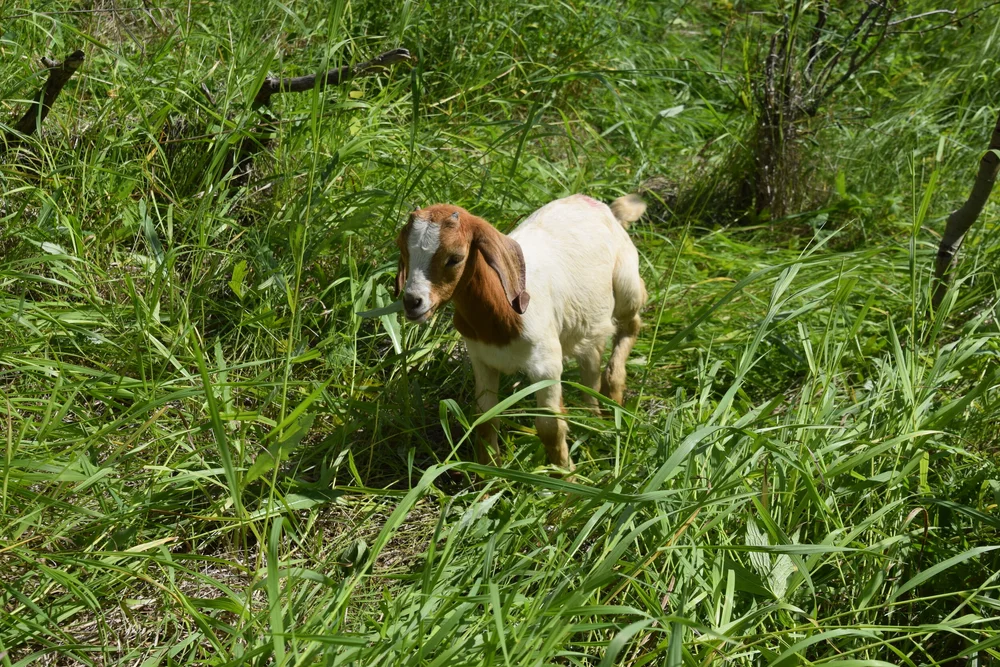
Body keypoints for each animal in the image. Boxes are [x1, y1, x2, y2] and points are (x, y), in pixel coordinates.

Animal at [394, 193, 647, 472]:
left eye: (455, 258)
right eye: (403, 250)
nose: (412, 302)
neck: (500, 313)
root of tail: (600, 206)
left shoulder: (546, 365)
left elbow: (549, 426)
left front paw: (567, 476)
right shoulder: (482, 360)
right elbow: (485, 417)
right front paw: (489, 473)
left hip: (627, 284)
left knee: (630, 324)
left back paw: (614, 391)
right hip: (588, 320)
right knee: (591, 360)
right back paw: (595, 420)